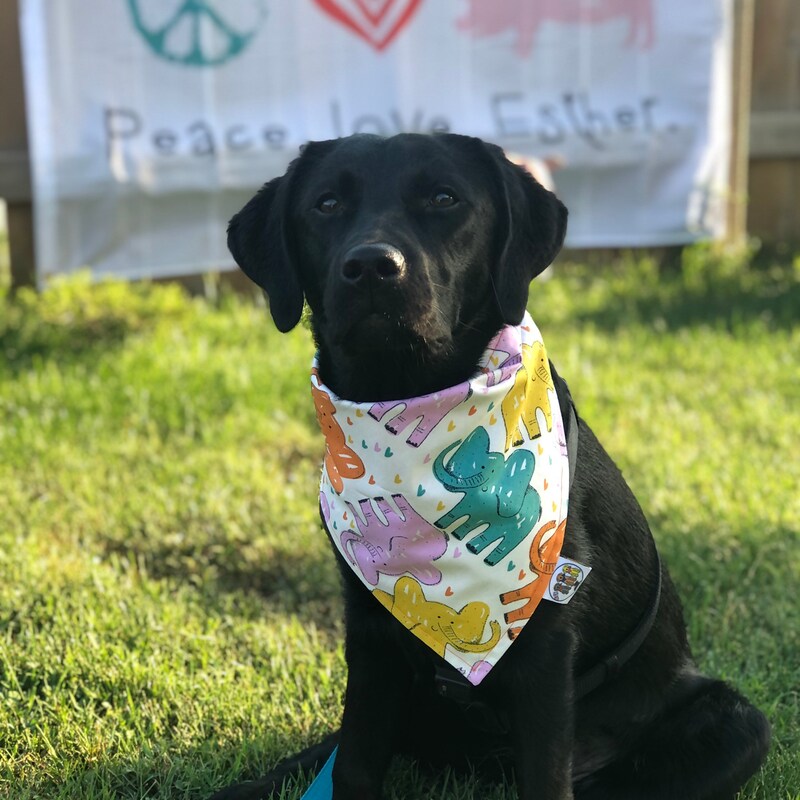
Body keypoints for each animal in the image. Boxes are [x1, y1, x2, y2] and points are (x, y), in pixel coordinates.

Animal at [433, 426, 541, 566]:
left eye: (487, 467)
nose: (458, 440)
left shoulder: (489, 506)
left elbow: (475, 518)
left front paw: (456, 534)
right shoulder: (470, 499)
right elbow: (459, 510)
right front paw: (442, 526)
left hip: (522, 527)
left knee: (504, 540)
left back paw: (485, 558)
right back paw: (472, 548)